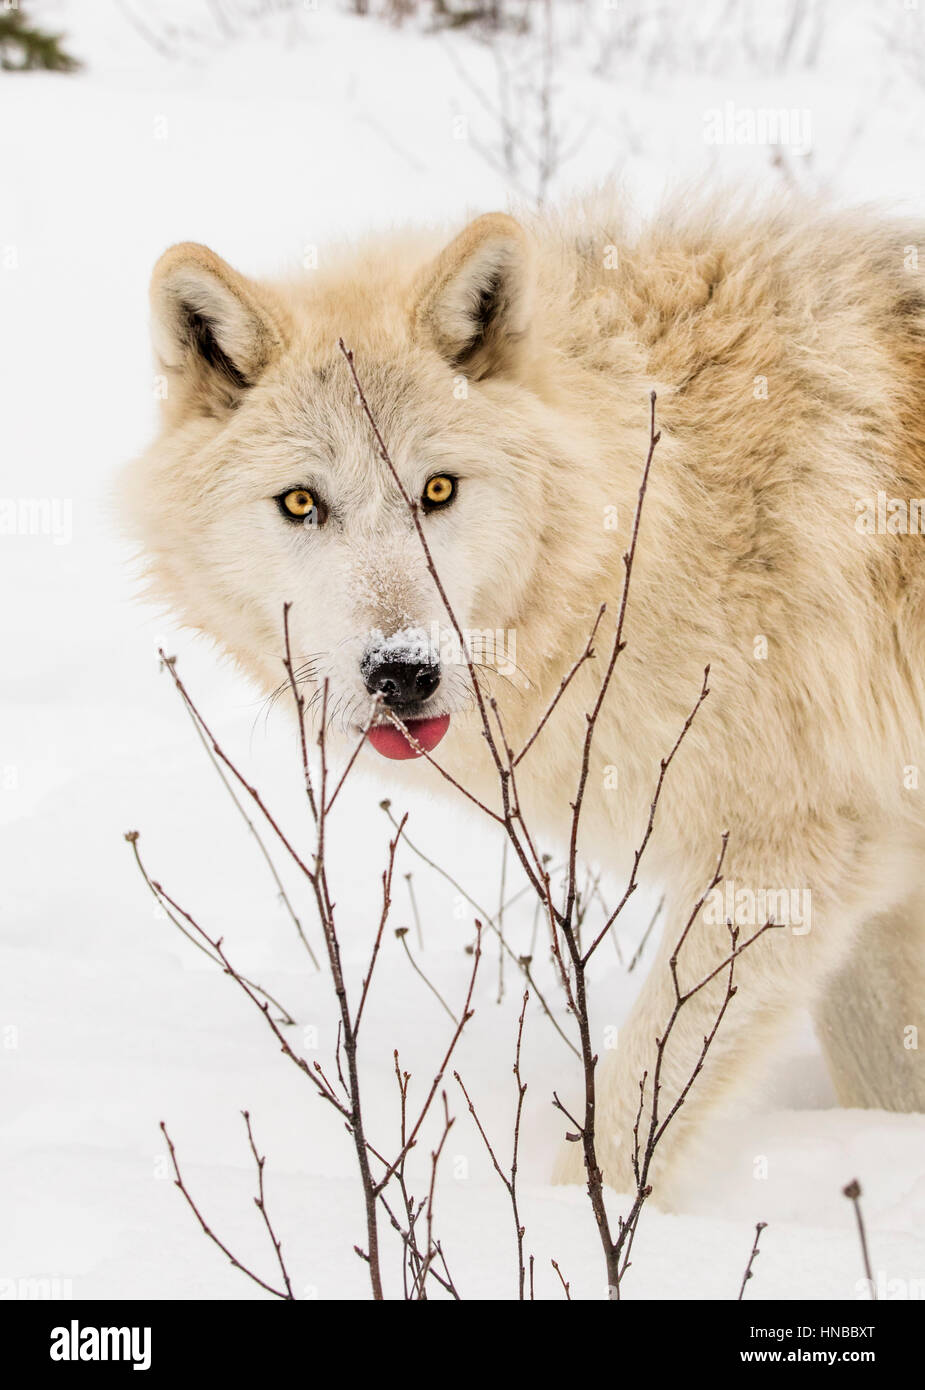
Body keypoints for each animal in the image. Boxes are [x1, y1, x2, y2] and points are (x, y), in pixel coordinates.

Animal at [121, 193, 925, 1199]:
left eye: (436, 489)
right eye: (301, 503)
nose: (402, 673)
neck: (657, 502)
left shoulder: (785, 855)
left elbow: (623, 1119)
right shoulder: (866, 857)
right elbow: (888, 1084)